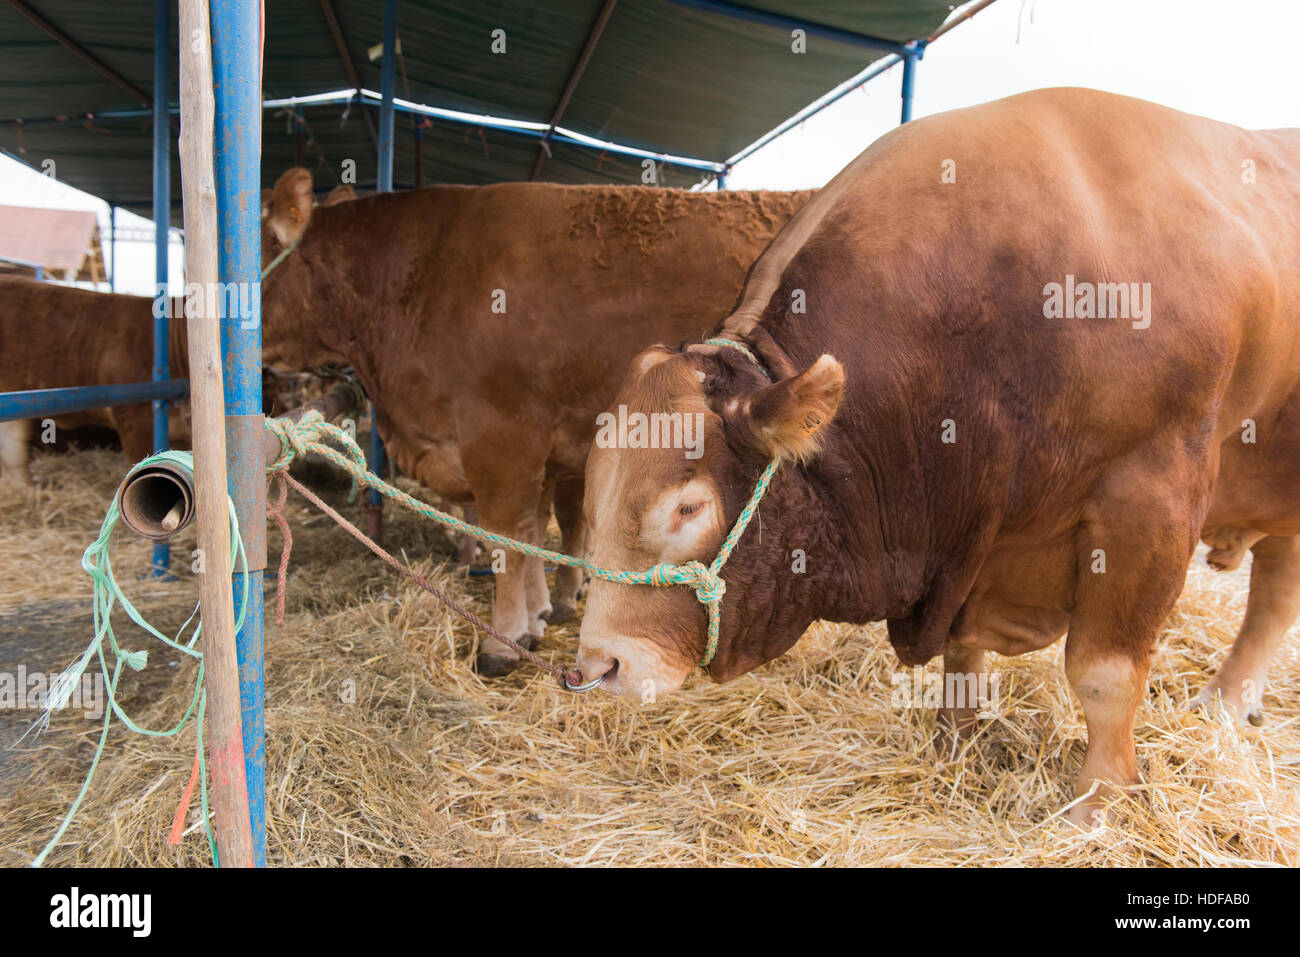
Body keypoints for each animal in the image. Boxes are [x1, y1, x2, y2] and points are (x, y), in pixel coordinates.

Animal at [258, 169, 815, 674]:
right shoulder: (539, 453)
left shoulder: (499, 437)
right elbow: (530, 534)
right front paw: (537, 613)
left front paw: (502, 642)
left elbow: (508, 535)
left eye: (258, 247)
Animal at [573, 88, 1300, 826]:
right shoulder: (970, 539)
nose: (596, 666)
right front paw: (956, 741)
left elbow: (1105, 676)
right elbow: (962, 650)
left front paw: (1098, 806)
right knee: (1276, 591)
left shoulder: (1149, 499)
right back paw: (1229, 702)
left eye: (686, 508)